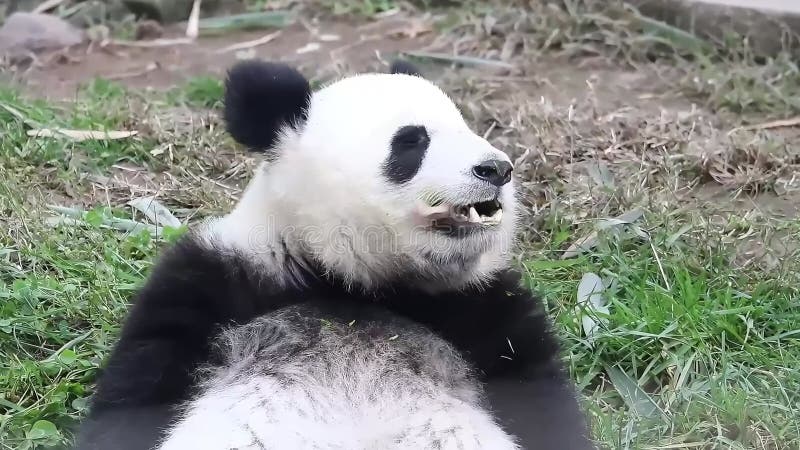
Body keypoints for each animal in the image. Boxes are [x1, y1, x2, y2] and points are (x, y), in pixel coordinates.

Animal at [74, 59, 593, 450]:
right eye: (412, 142)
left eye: (467, 128)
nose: (496, 169)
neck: (353, 284)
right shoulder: (224, 281)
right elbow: (138, 399)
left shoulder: (476, 306)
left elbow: (535, 400)